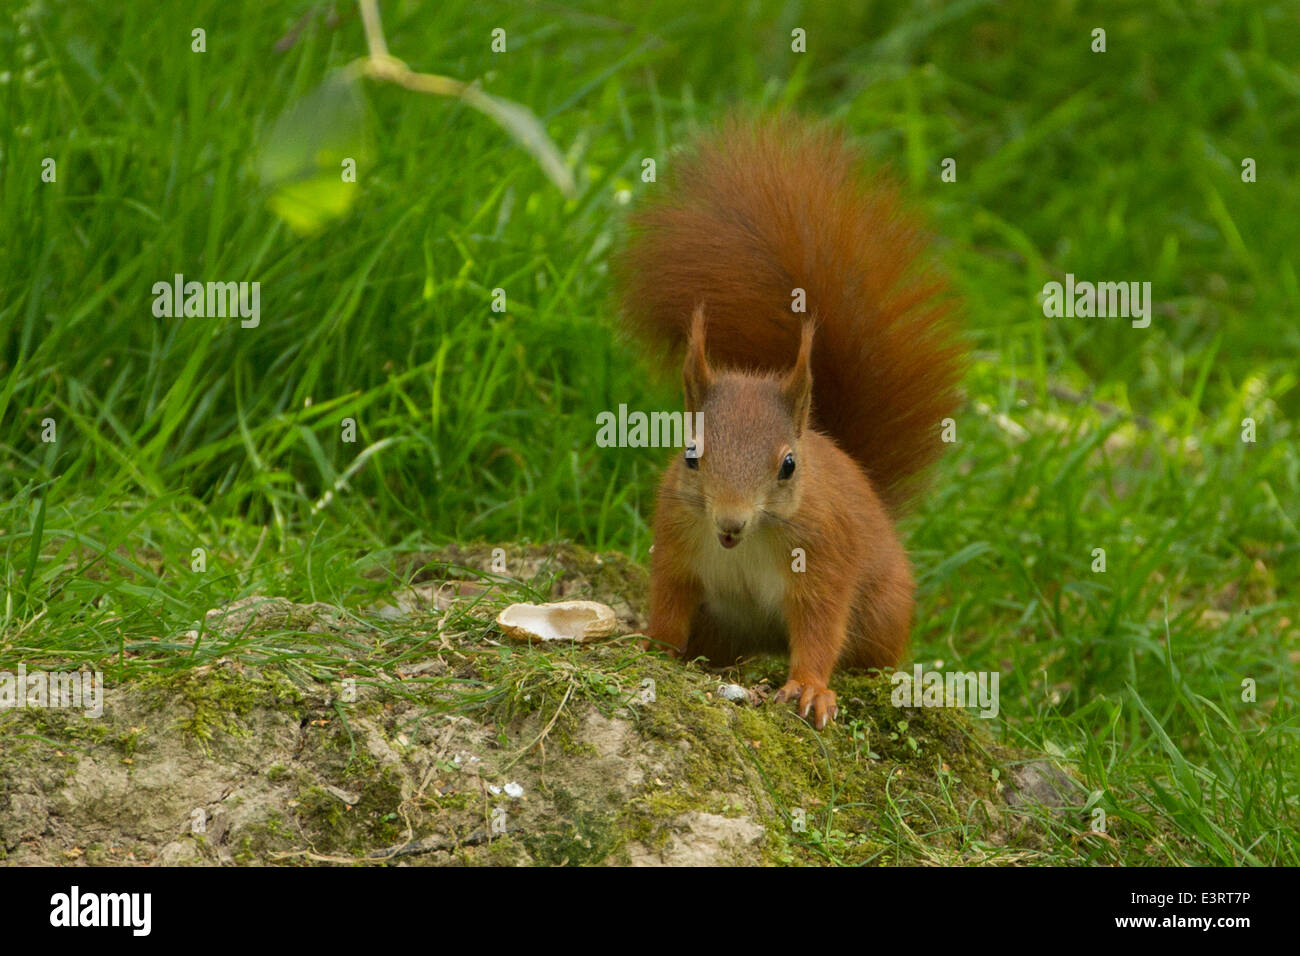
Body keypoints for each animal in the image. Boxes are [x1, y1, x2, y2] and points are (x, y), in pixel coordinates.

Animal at [612, 114, 965, 729]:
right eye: (690, 454)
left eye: (788, 466)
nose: (729, 523)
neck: (751, 541)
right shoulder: (676, 547)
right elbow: (669, 601)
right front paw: (653, 644)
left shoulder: (823, 559)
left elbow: (820, 628)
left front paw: (809, 689)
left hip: (883, 611)